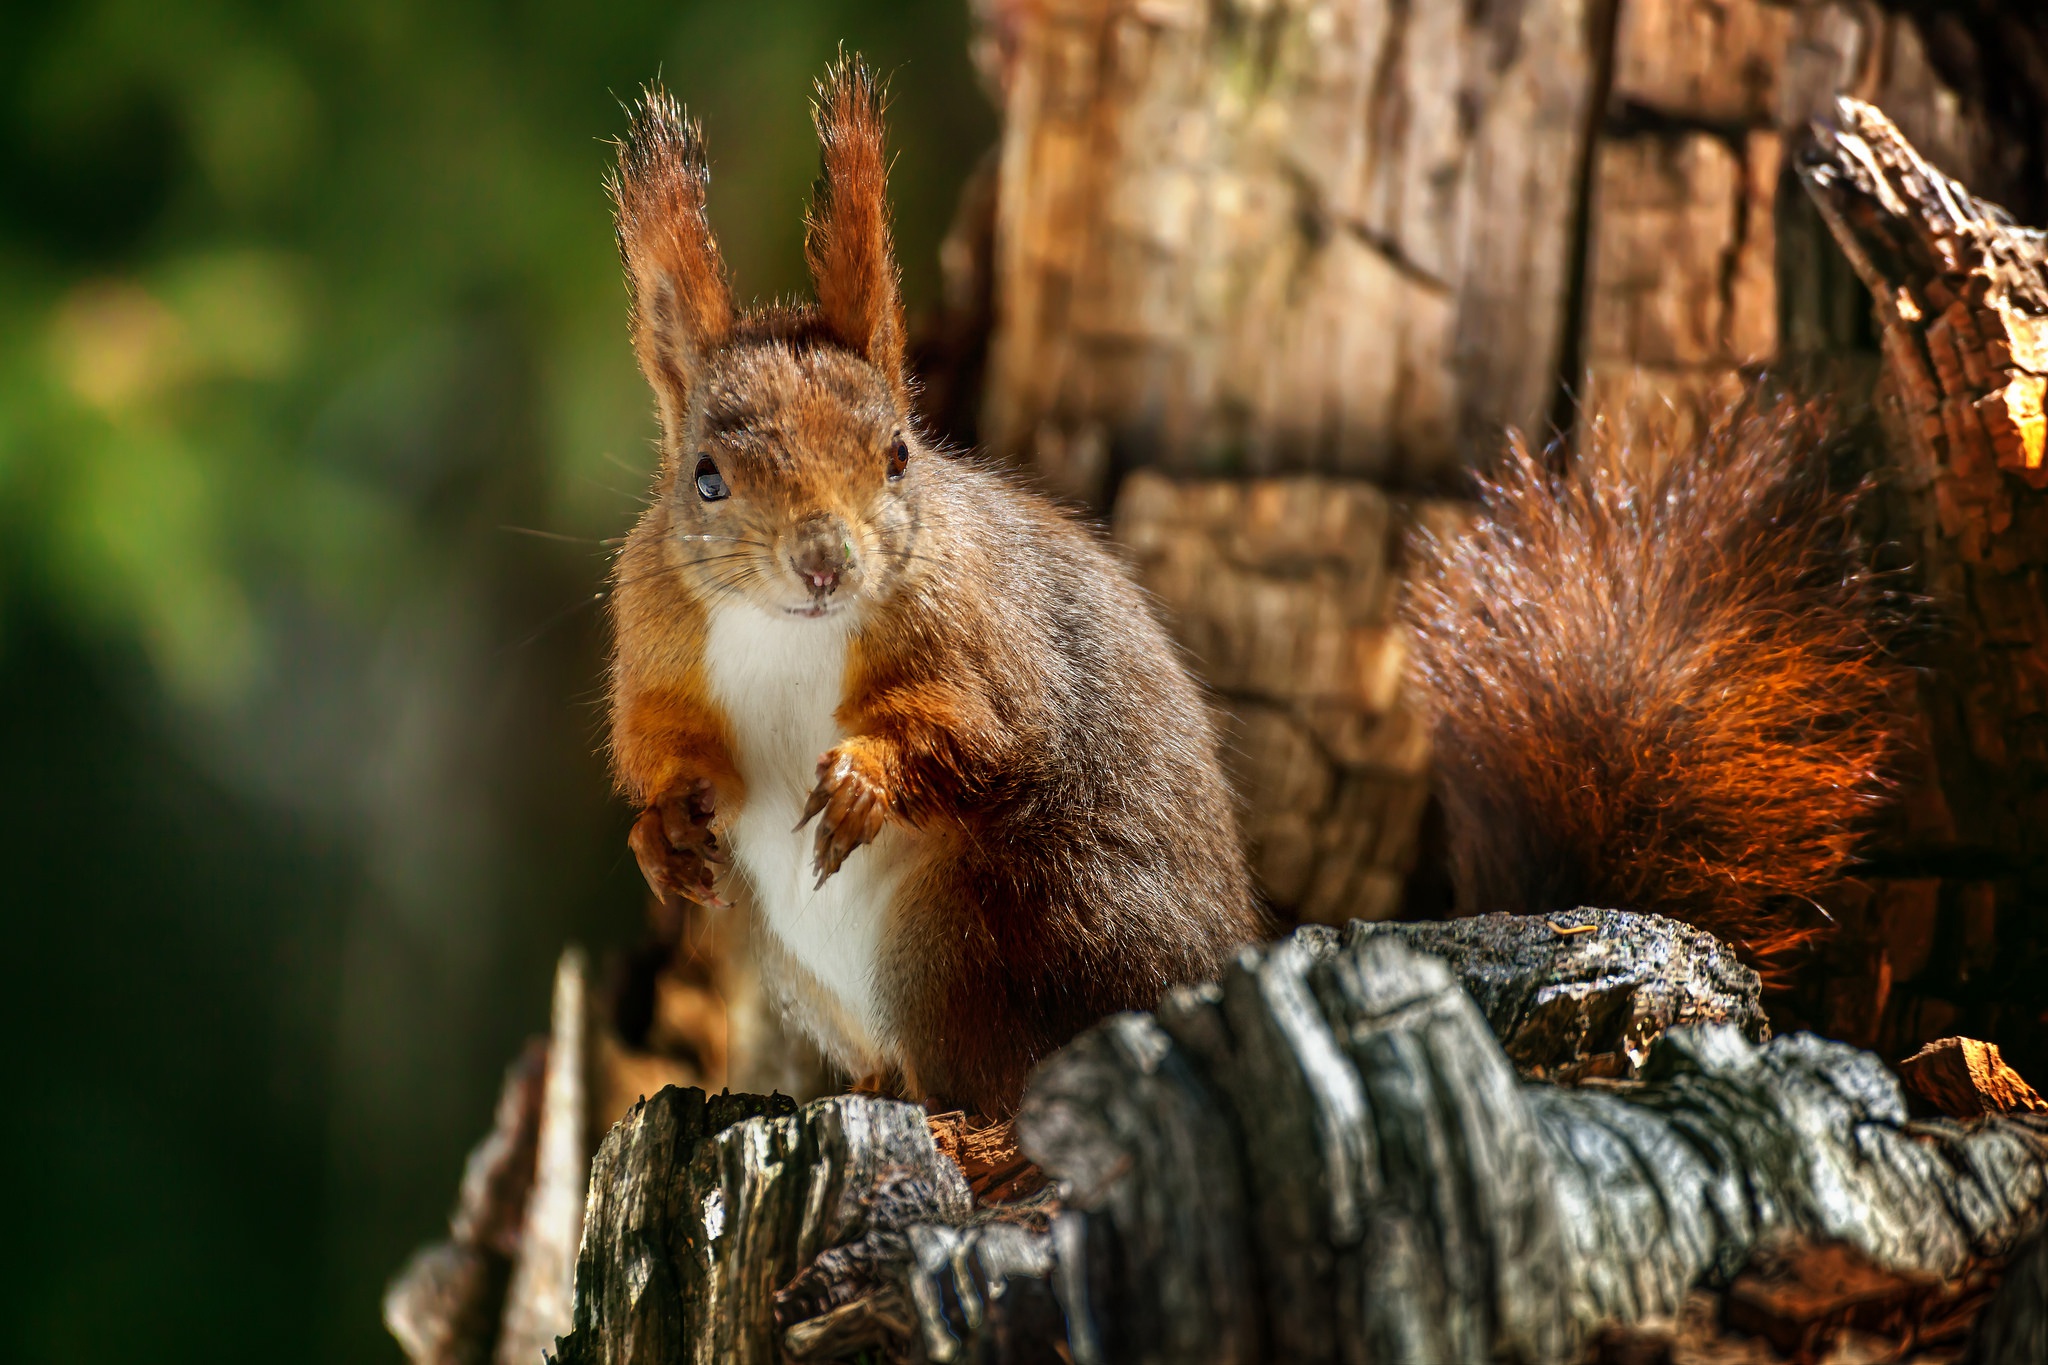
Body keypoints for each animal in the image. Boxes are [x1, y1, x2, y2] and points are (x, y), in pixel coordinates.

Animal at [603, 60, 1264, 1117]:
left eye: (899, 454)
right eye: (705, 477)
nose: (824, 562)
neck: (789, 629)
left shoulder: (982, 632)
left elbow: (977, 728)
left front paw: (865, 780)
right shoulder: (657, 635)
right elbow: (666, 743)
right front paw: (662, 826)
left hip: (974, 935)